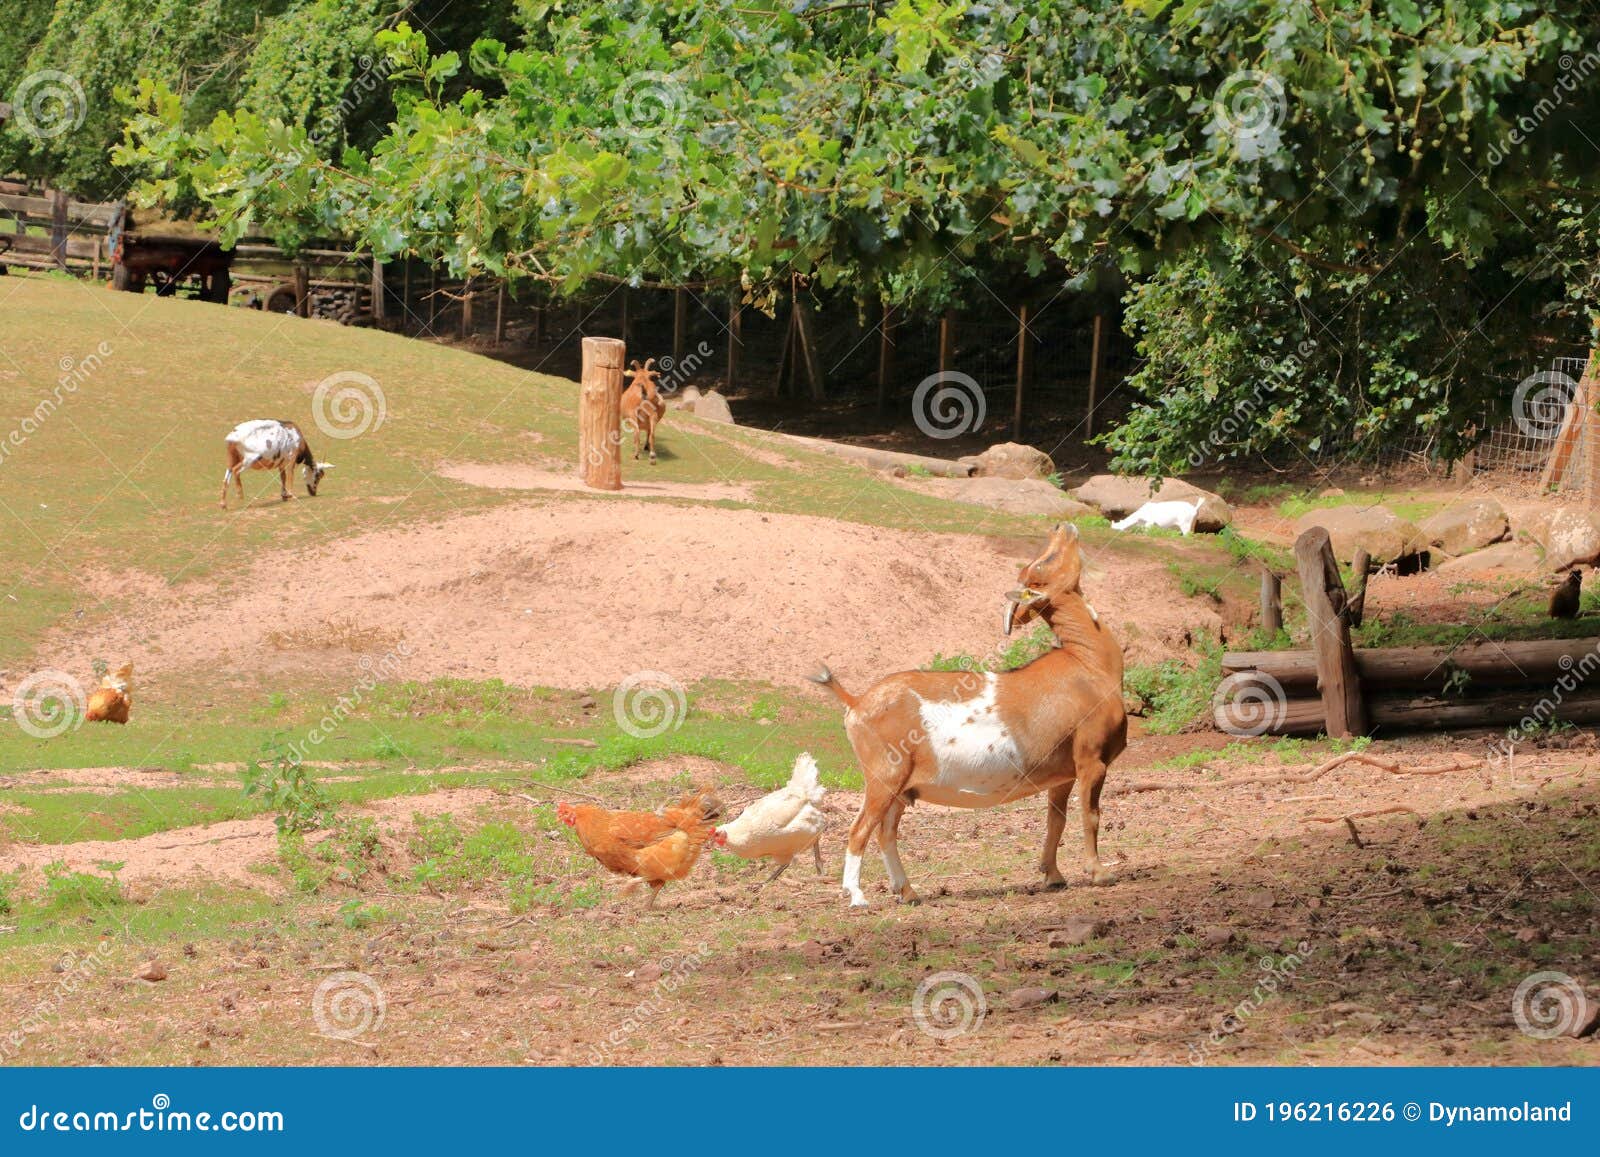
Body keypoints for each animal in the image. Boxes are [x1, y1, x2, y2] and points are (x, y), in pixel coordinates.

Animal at [811, 522, 1126, 907]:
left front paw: (1053, 876)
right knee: (859, 830)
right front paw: (1100, 874)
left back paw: (908, 892)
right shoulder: (1091, 759)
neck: (1088, 663)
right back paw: (857, 896)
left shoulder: (1062, 772)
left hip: (901, 787)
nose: (1062, 526)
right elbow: (1090, 816)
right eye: (1043, 563)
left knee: (886, 831)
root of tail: (856, 702)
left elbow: (1056, 821)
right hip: (884, 776)